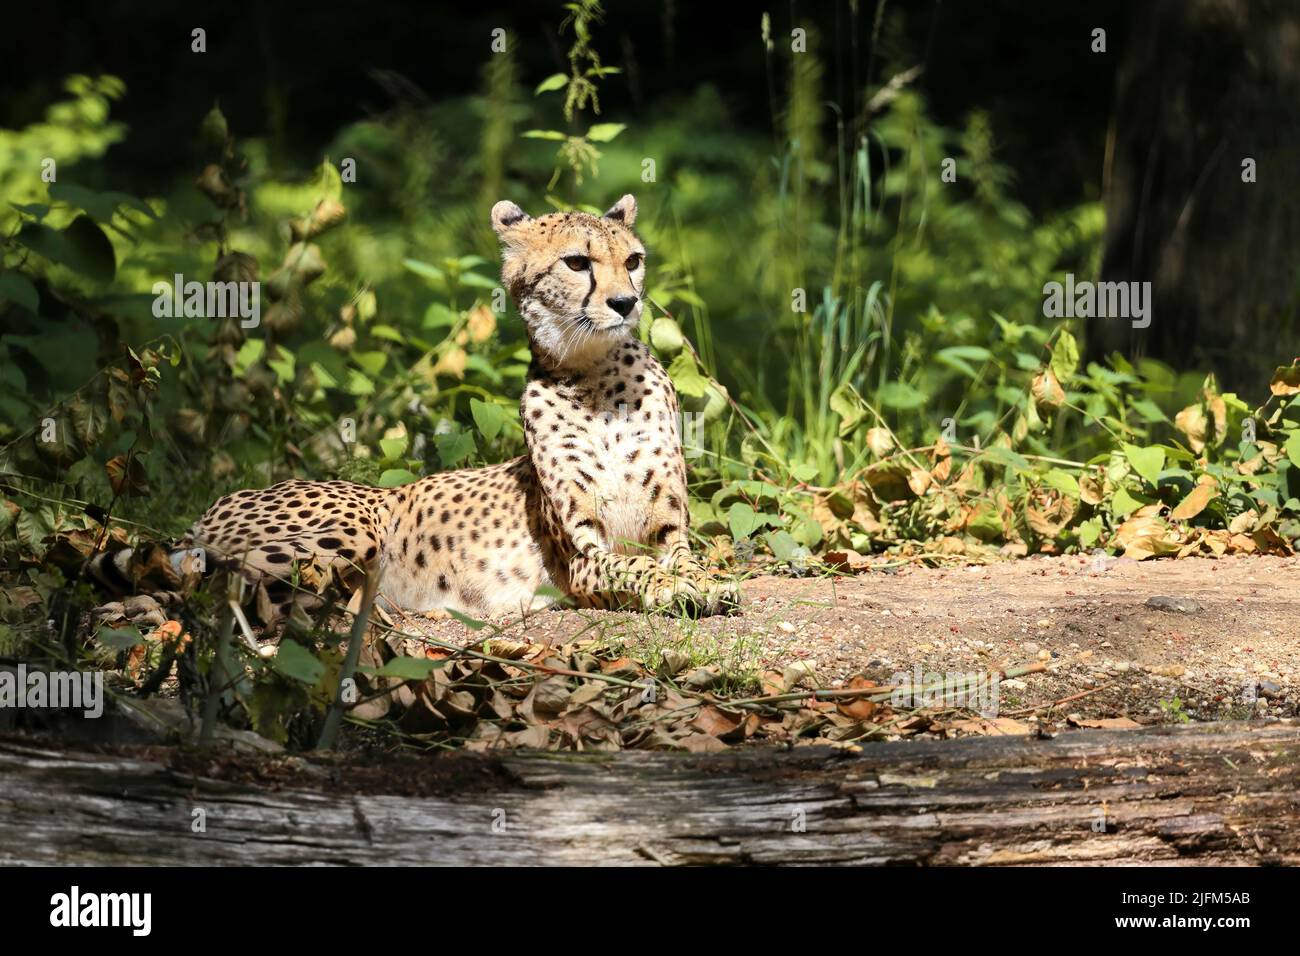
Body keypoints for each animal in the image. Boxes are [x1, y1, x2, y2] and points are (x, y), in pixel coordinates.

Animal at [91, 194, 739, 622]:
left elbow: (683, 561)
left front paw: (700, 582)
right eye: (577, 263)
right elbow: (633, 567)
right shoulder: (581, 552)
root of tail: (223, 500)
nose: (627, 303)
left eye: (632, 261)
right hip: (341, 532)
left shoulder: (669, 531)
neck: (595, 380)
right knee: (205, 582)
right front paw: (679, 588)